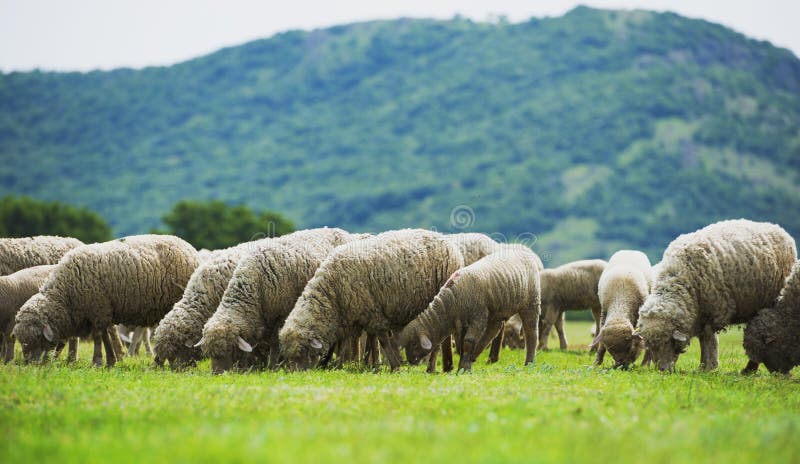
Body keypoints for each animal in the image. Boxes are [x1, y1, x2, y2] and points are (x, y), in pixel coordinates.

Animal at [12, 235, 199, 367]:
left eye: (37, 337)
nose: (28, 365)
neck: (65, 295)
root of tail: (190, 249)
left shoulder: (97, 309)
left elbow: (98, 337)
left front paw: (98, 361)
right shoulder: (101, 312)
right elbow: (104, 336)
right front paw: (110, 361)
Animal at [199, 228, 365, 373]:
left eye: (229, 350)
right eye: (210, 353)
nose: (217, 374)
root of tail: (342, 231)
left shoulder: (280, 316)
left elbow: (275, 344)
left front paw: (274, 367)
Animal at [279, 229, 463, 371]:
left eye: (301, 352)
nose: (295, 374)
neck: (332, 293)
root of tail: (451, 246)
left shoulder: (374, 315)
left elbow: (382, 342)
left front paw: (394, 366)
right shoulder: (350, 318)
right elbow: (345, 344)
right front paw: (338, 367)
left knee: (439, 340)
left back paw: (431, 368)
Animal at [397, 245, 541, 372]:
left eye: (414, 344)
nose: (410, 361)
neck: (451, 303)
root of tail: (525, 252)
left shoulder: (478, 316)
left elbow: (468, 343)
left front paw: (463, 369)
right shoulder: (462, 322)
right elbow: (461, 345)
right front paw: (464, 364)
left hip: (531, 302)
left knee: (531, 332)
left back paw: (529, 362)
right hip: (497, 310)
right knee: (493, 329)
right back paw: (474, 356)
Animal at [637, 219, 796, 372]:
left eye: (668, 343)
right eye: (650, 346)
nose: (662, 370)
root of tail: (778, 228)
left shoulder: (713, 311)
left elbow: (709, 340)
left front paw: (709, 367)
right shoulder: (700, 316)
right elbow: (703, 340)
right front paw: (702, 366)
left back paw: (749, 369)